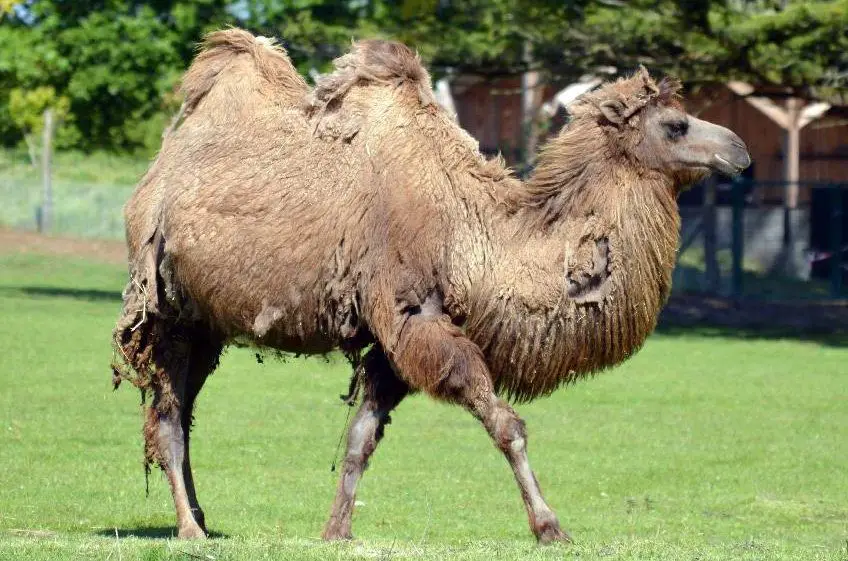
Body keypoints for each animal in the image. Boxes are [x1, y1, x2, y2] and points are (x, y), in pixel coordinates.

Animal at [112, 28, 750, 543]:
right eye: (675, 125)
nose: (739, 151)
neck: (475, 235)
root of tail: (155, 175)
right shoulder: (415, 316)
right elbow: (506, 425)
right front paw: (550, 527)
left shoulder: (395, 341)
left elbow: (360, 437)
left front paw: (336, 531)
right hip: (164, 304)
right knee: (168, 416)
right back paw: (191, 529)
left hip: (208, 324)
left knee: (183, 412)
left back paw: (202, 517)